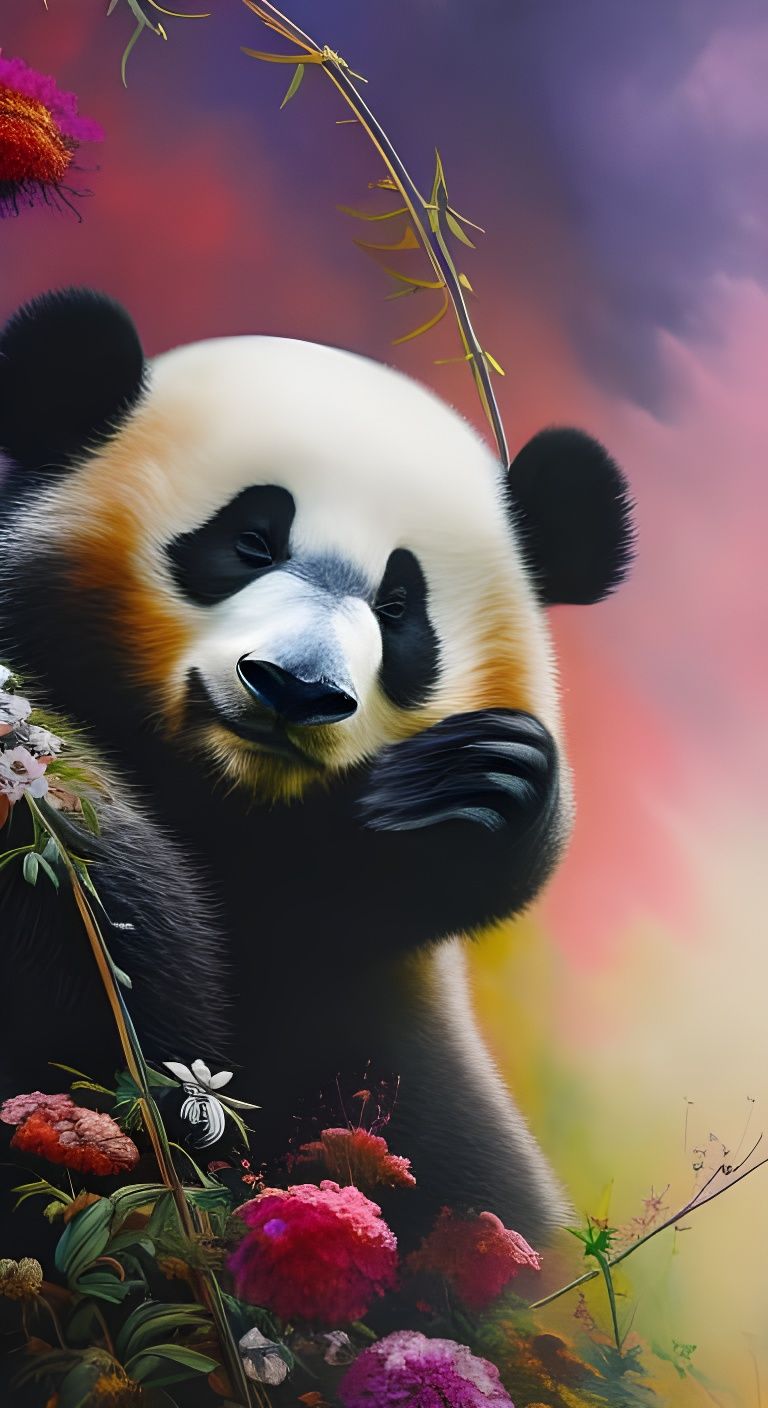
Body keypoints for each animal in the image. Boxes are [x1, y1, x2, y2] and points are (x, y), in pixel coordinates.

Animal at [0, 288, 634, 1249]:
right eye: (251, 542)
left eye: (400, 605)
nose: (297, 688)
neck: (227, 813)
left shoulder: (368, 995)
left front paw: (472, 782)